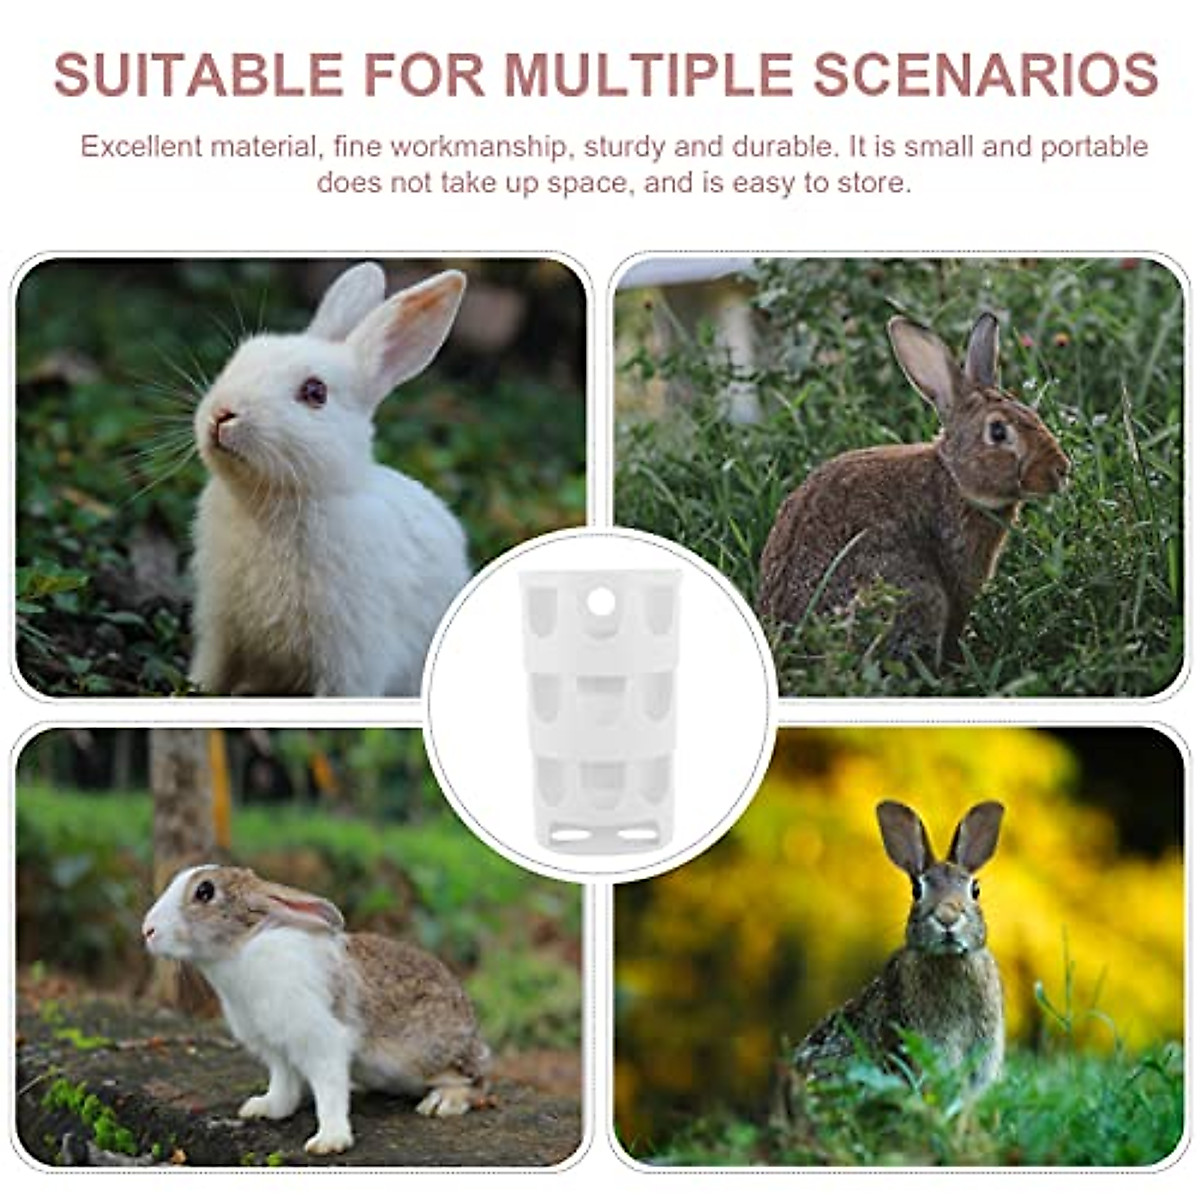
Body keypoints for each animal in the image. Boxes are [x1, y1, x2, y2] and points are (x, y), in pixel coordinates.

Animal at [142, 864, 490, 1155]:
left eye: (205, 891)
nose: (147, 930)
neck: (241, 948)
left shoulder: (320, 1040)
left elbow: (330, 1090)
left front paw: (329, 1142)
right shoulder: (276, 1050)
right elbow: (283, 1085)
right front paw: (263, 1108)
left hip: (421, 1058)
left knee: (475, 1082)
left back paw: (442, 1102)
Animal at [189, 261, 471, 697]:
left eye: (314, 392)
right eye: (240, 358)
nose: (222, 414)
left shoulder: (351, 659)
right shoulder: (221, 626)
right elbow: (211, 672)